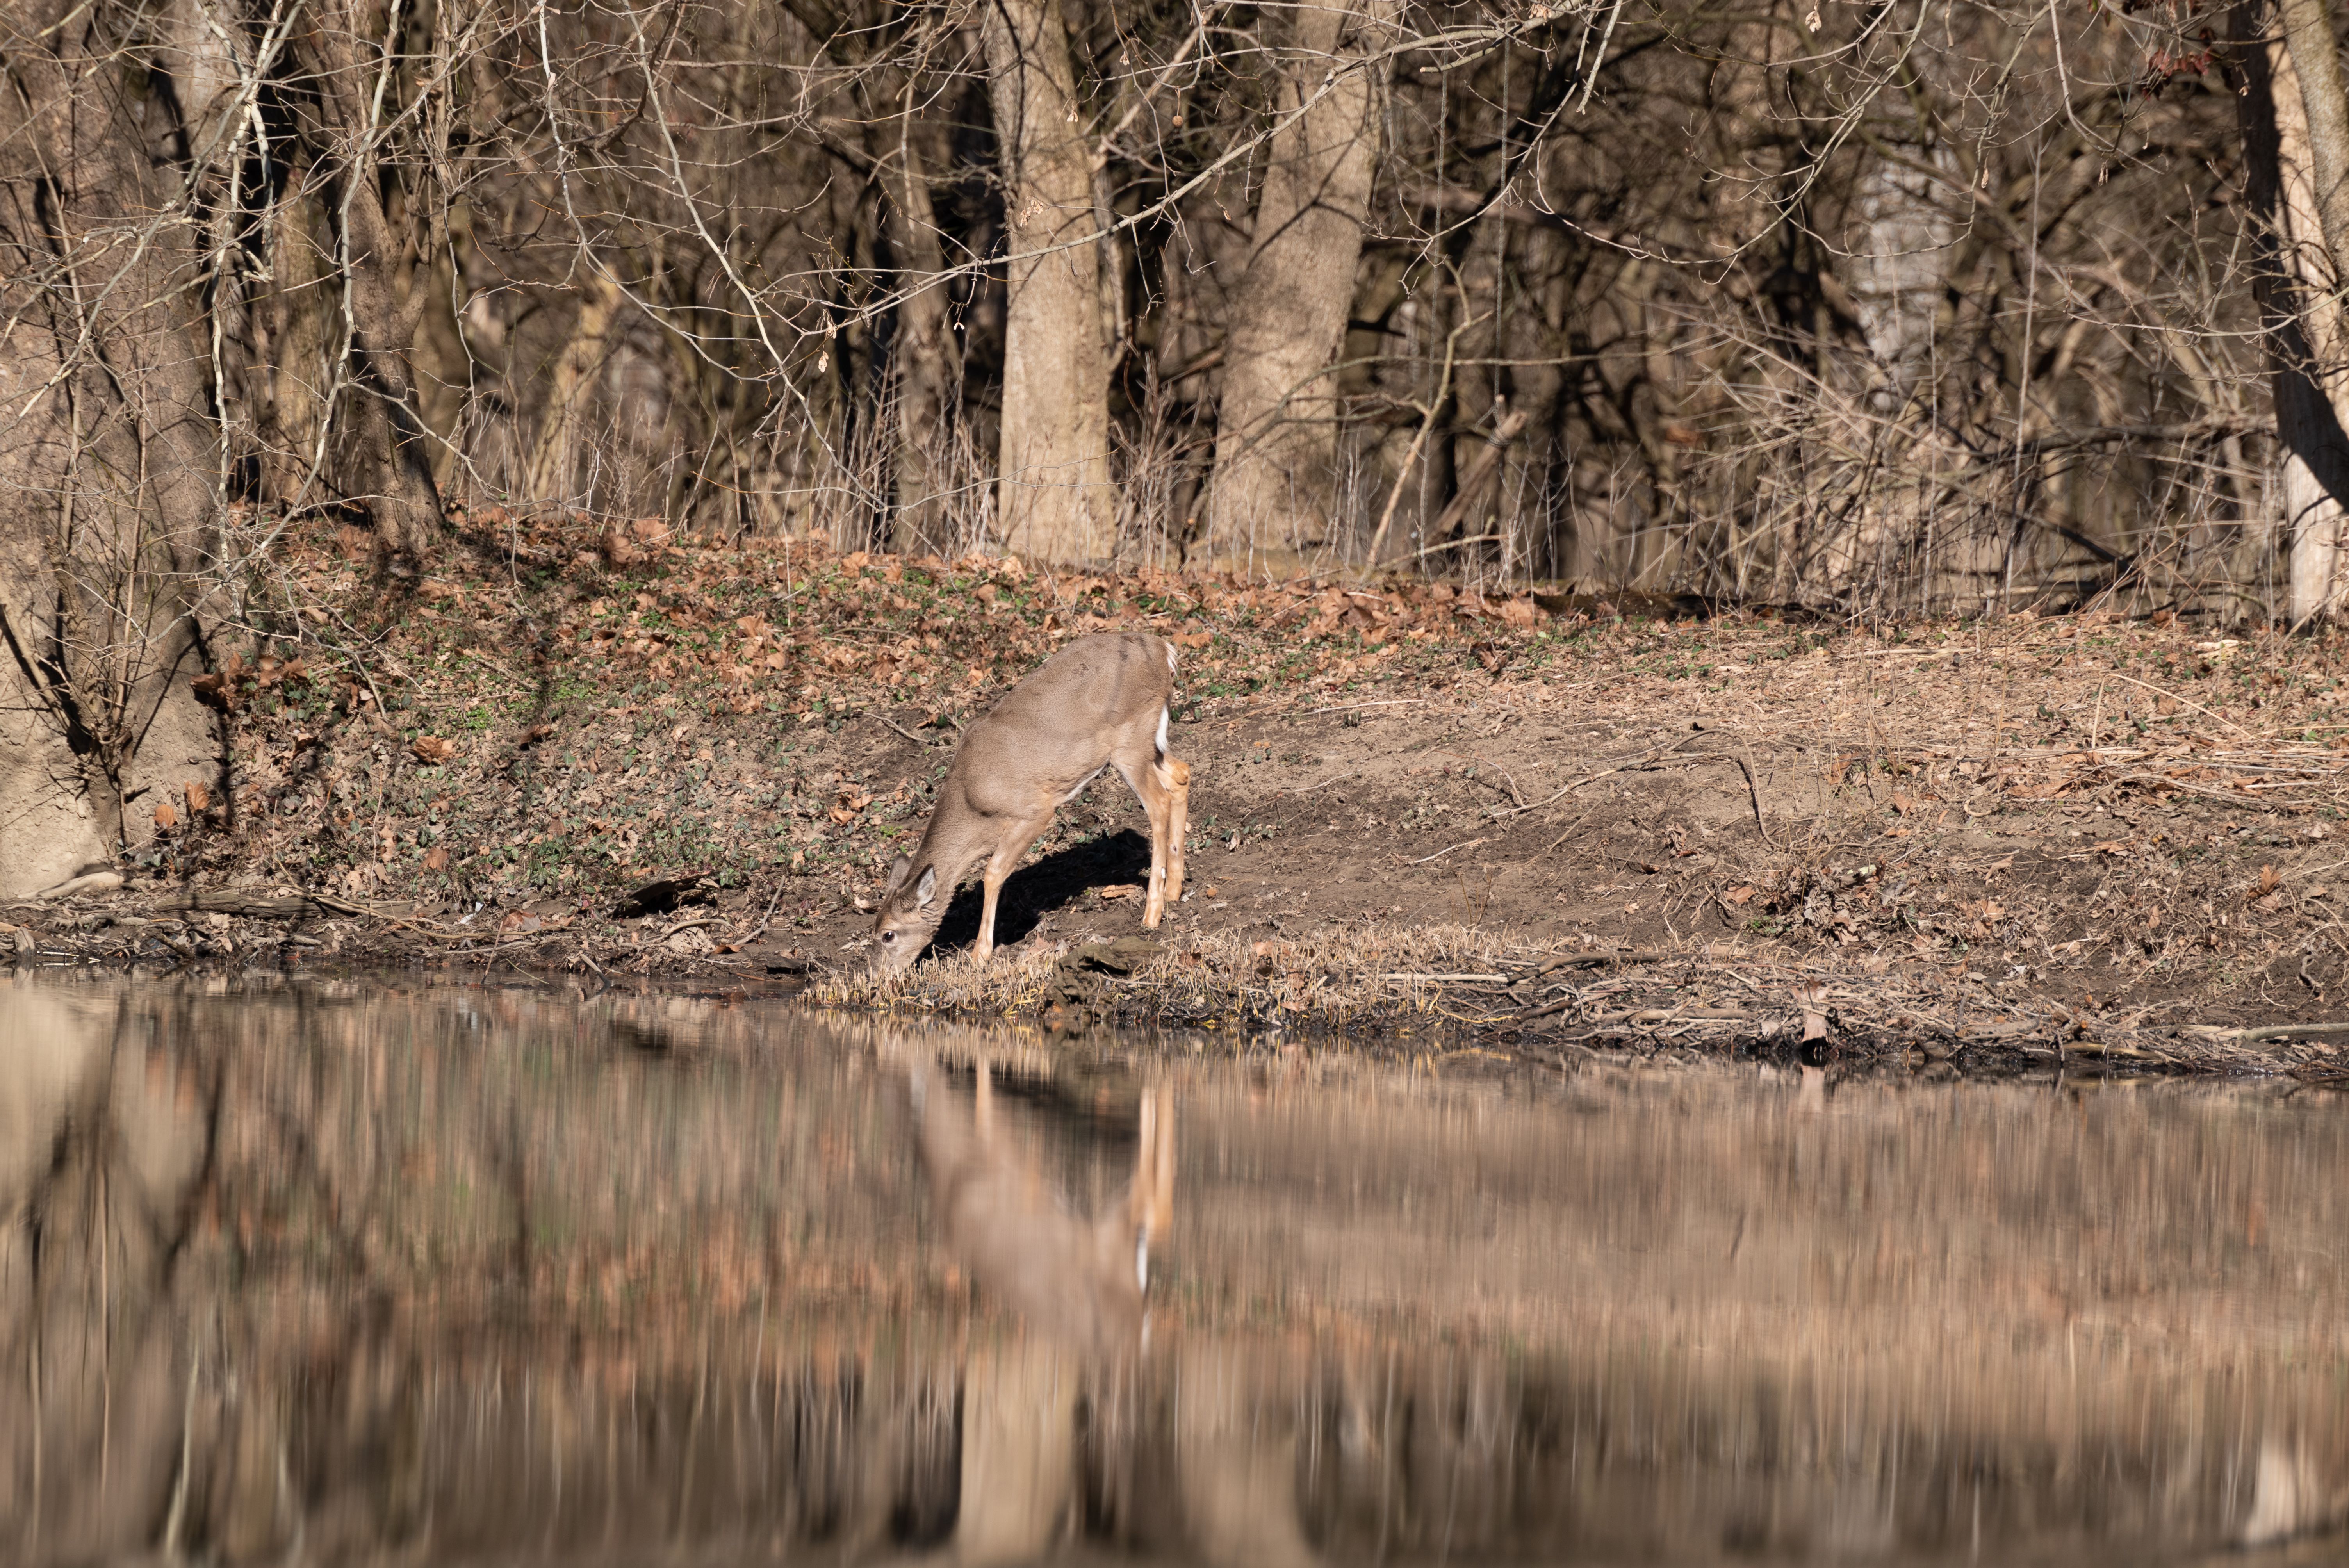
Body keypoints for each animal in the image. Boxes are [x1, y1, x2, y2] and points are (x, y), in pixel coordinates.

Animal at [869, 631, 1190, 973]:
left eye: (888, 934)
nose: (877, 976)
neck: (972, 805)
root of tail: (1164, 651)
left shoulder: (1034, 810)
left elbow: (993, 873)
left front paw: (980, 954)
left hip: (1130, 742)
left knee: (1159, 803)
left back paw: (1152, 914)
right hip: (1148, 743)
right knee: (1181, 774)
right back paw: (1173, 891)